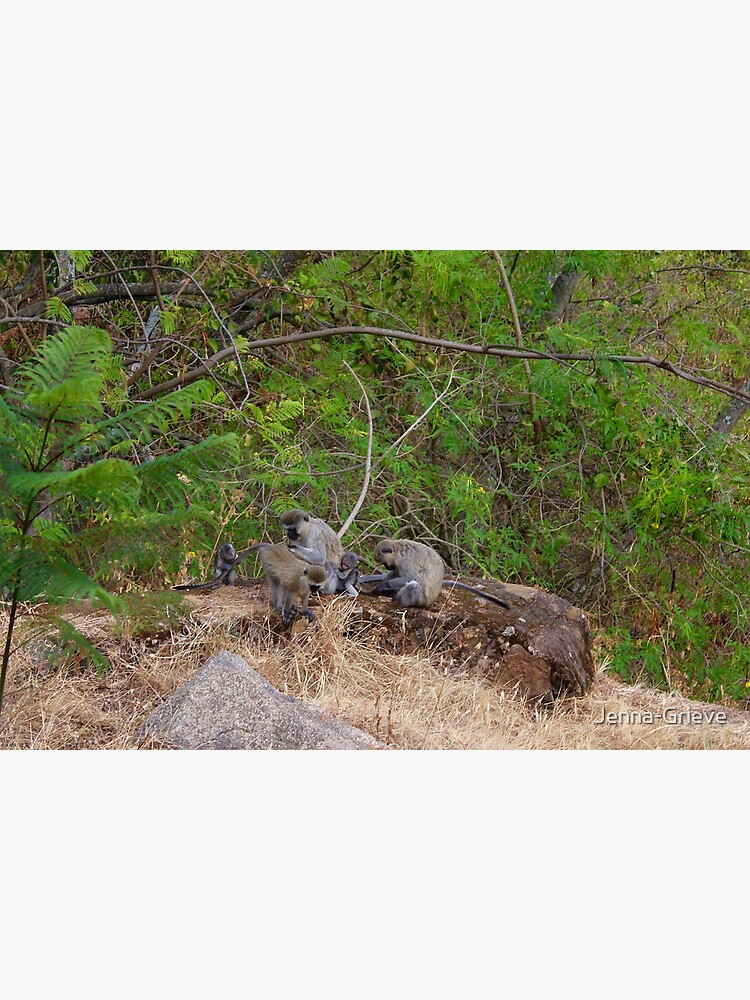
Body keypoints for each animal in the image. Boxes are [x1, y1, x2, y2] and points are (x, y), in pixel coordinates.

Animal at [360, 538, 511, 610]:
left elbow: (410, 577)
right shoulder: (398, 564)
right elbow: (396, 572)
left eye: (384, 563)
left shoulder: (405, 561)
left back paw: (398, 599)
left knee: (414, 585)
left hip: (421, 599)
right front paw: (381, 585)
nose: (387, 566)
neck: (398, 550)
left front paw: (385, 586)